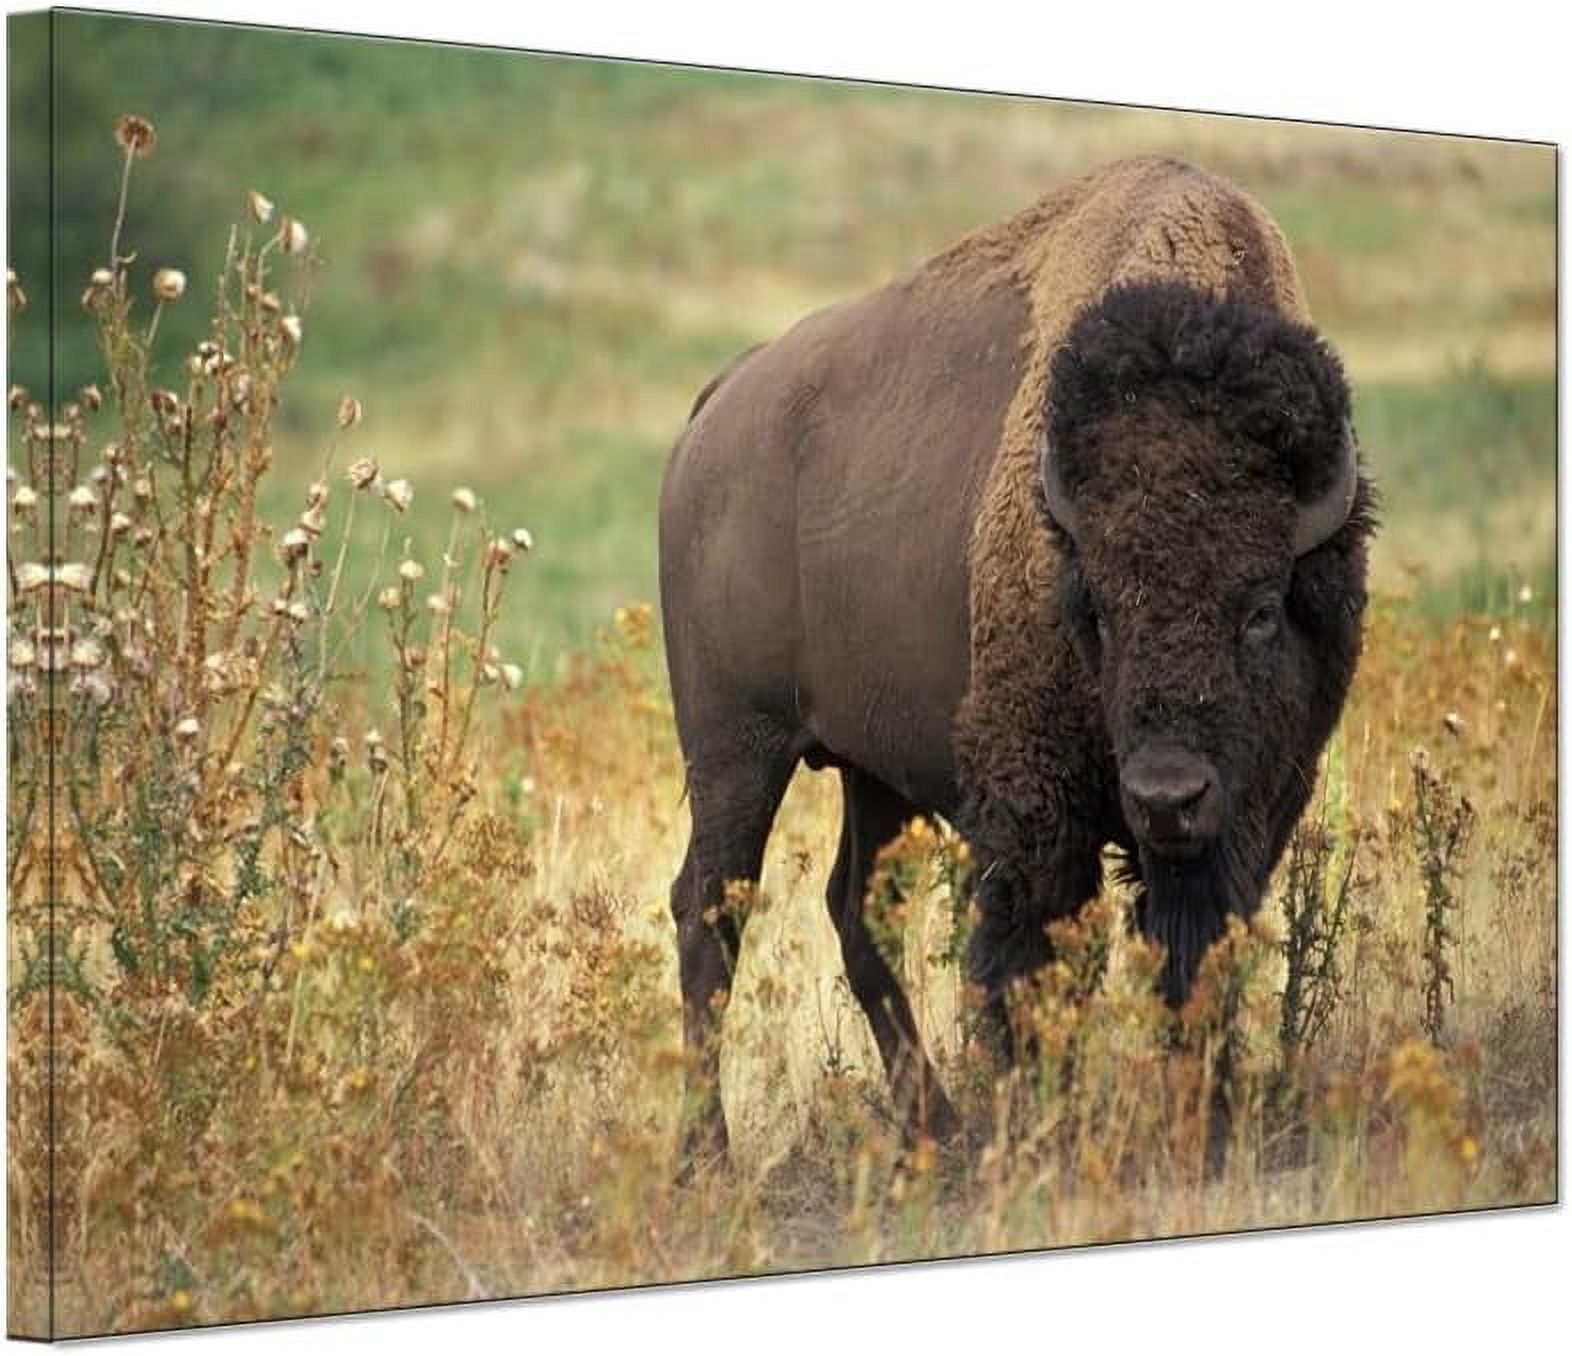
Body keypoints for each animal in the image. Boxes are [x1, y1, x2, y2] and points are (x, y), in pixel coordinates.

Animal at [658, 156, 1374, 1160]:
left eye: (1263, 609)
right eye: (1098, 609)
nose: (1165, 797)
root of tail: (716, 407)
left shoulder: (1252, 807)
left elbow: (1193, 951)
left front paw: (1205, 1119)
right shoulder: (1035, 809)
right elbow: (1031, 959)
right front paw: (1045, 1122)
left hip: (870, 771)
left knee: (854, 909)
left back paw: (936, 1130)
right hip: (735, 748)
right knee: (710, 910)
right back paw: (709, 1157)